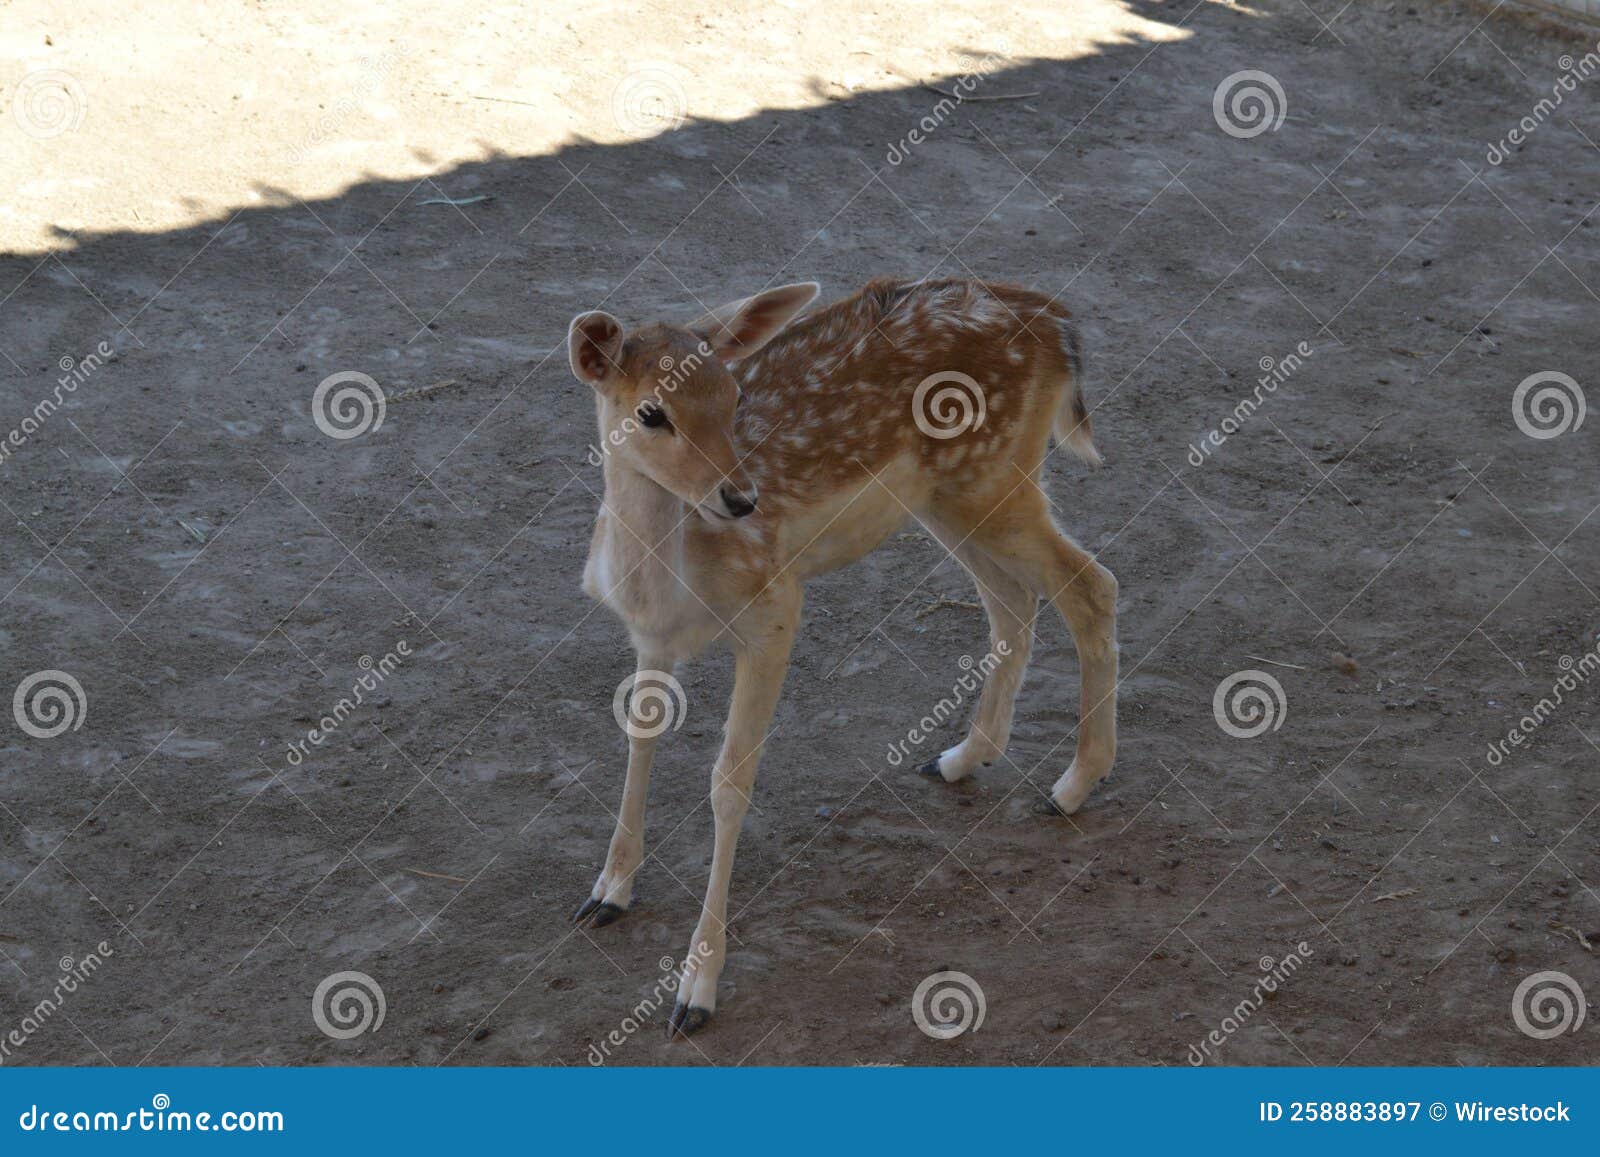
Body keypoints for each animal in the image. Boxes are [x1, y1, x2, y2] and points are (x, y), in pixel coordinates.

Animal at [565, 277, 1118, 1038]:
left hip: (996, 478)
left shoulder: (775, 609)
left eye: (733, 395)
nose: (741, 498)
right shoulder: (649, 638)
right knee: (1014, 600)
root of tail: (1058, 326)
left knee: (1090, 584)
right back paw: (959, 758)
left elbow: (728, 783)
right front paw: (608, 892)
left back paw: (1071, 785)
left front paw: (696, 989)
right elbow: (638, 736)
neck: (666, 587)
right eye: (651, 411)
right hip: (955, 497)